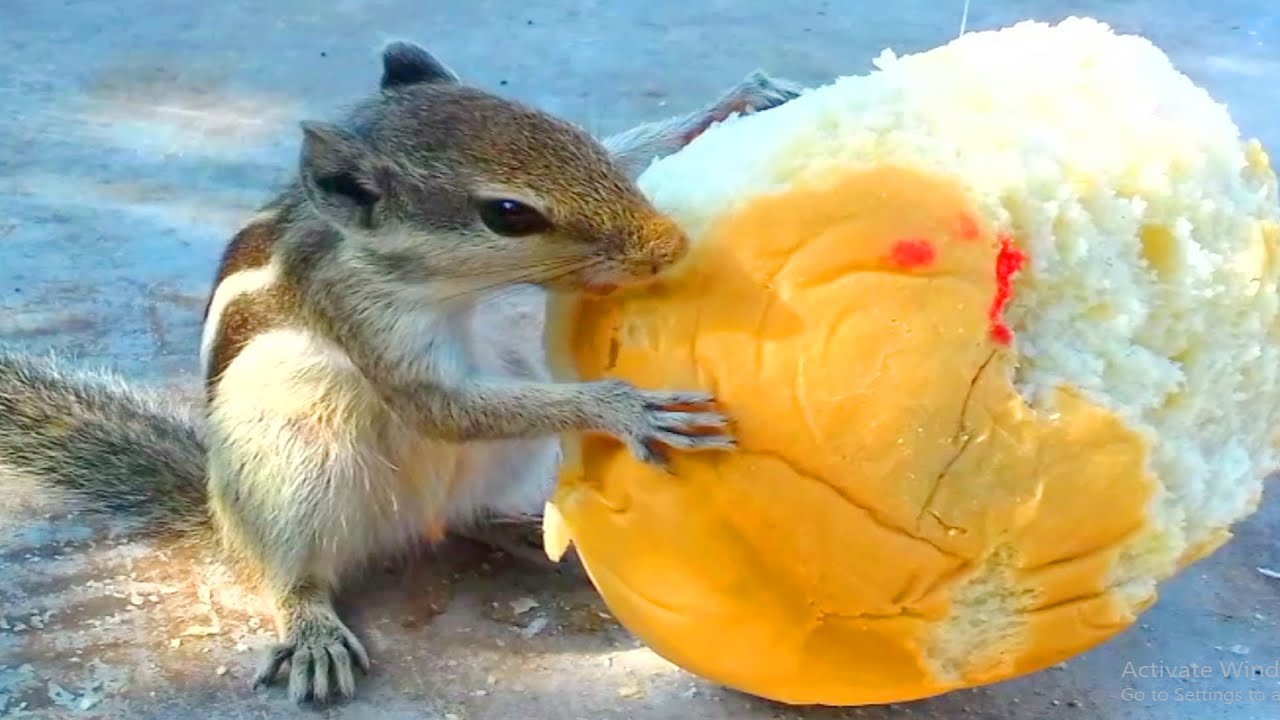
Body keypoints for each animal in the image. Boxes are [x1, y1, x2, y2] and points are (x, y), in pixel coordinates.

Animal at [0, 40, 801, 706]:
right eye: (508, 214)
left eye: (568, 132)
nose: (668, 244)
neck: (435, 286)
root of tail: (221, 513)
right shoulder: (363, 318)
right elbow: (440, 407)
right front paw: (625, 408)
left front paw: (737, 96)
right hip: (290, 459)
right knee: (287, 570)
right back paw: (312, 628)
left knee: (462, 518)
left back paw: (527, 532)